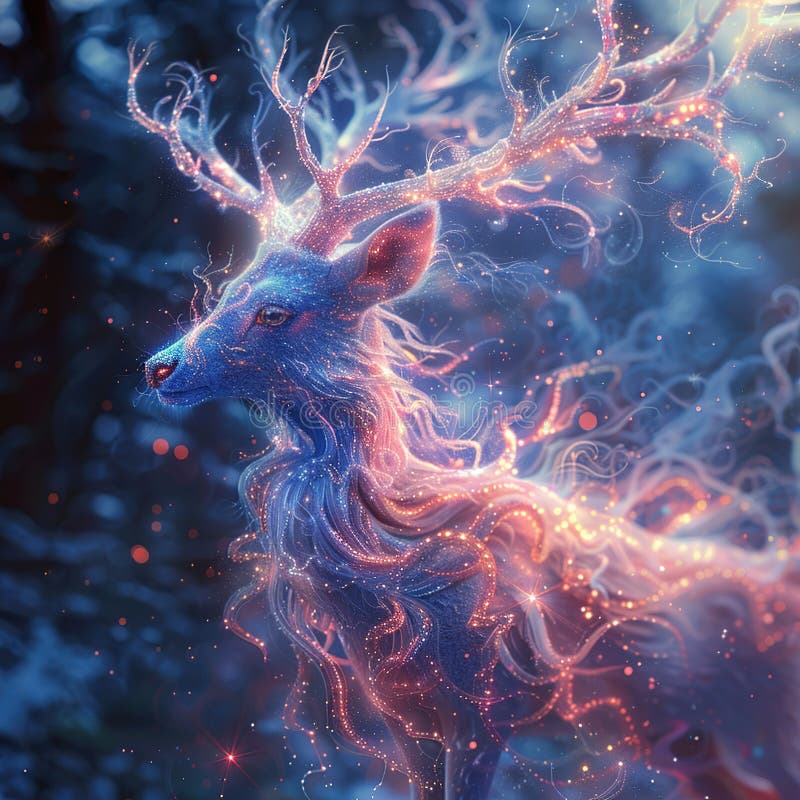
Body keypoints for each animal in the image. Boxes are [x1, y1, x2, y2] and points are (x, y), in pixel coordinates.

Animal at [131, 2, 800, 798]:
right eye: (226, 291)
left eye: (273, 312)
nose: (159, 368)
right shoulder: (403, 711)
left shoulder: (488, 699)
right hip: (699, 750)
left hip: (755, 727)